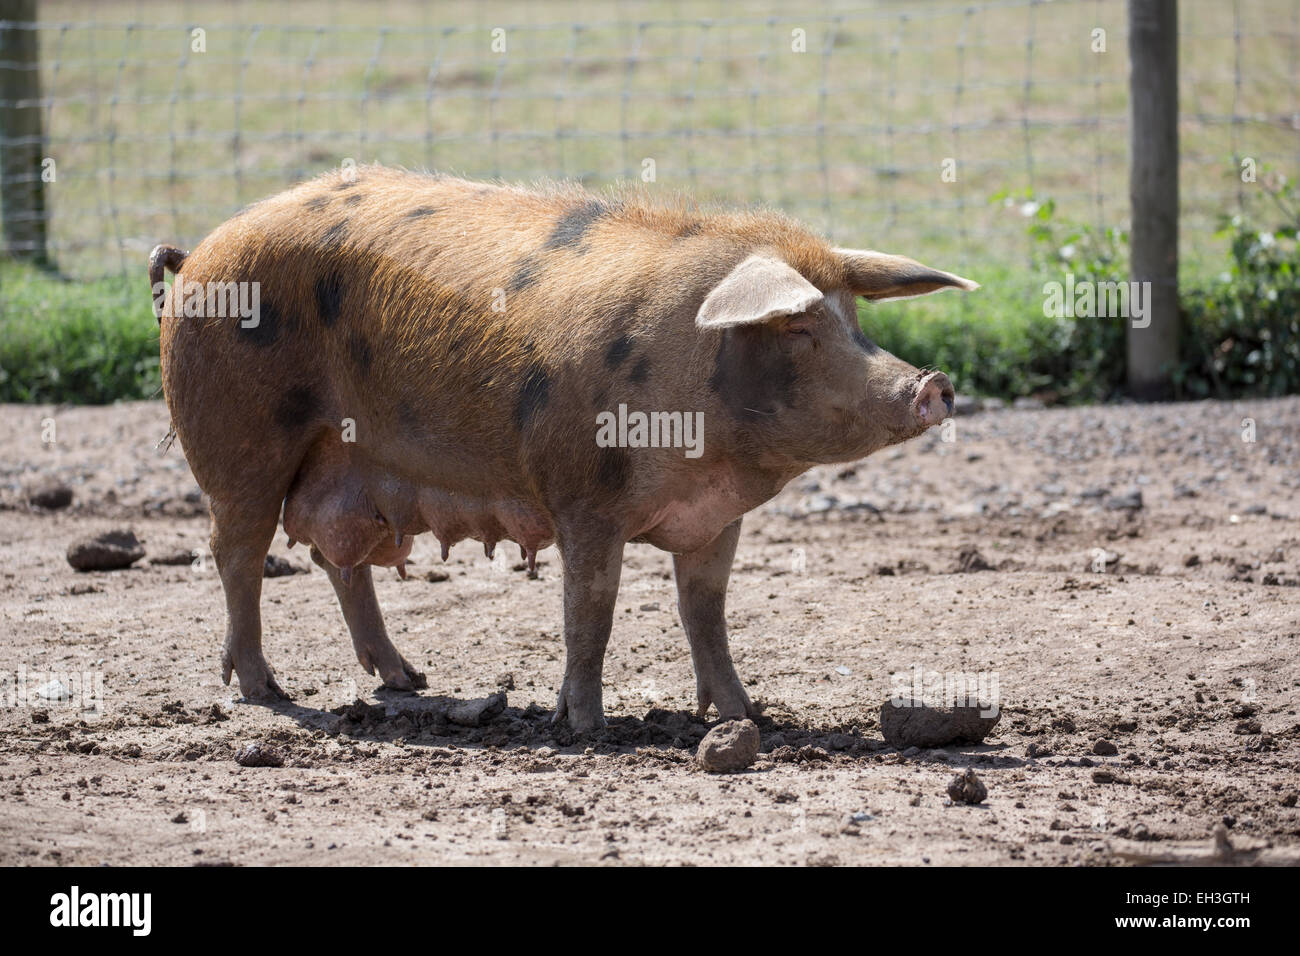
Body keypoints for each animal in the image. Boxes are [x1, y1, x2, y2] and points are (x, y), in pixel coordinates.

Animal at [151, 165, 975, 732]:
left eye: (855, 321)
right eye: (801, 327)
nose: (932, 384)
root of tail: (196, 257)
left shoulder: (716, 519)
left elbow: (703, 610)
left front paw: (743, 718)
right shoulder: (584, 498)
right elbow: (591, 608)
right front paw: (585, 725)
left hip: (348, 470)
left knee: (337, 558)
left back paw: (409, 681)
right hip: (239, 451)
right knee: (237, 554)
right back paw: (268, 691)